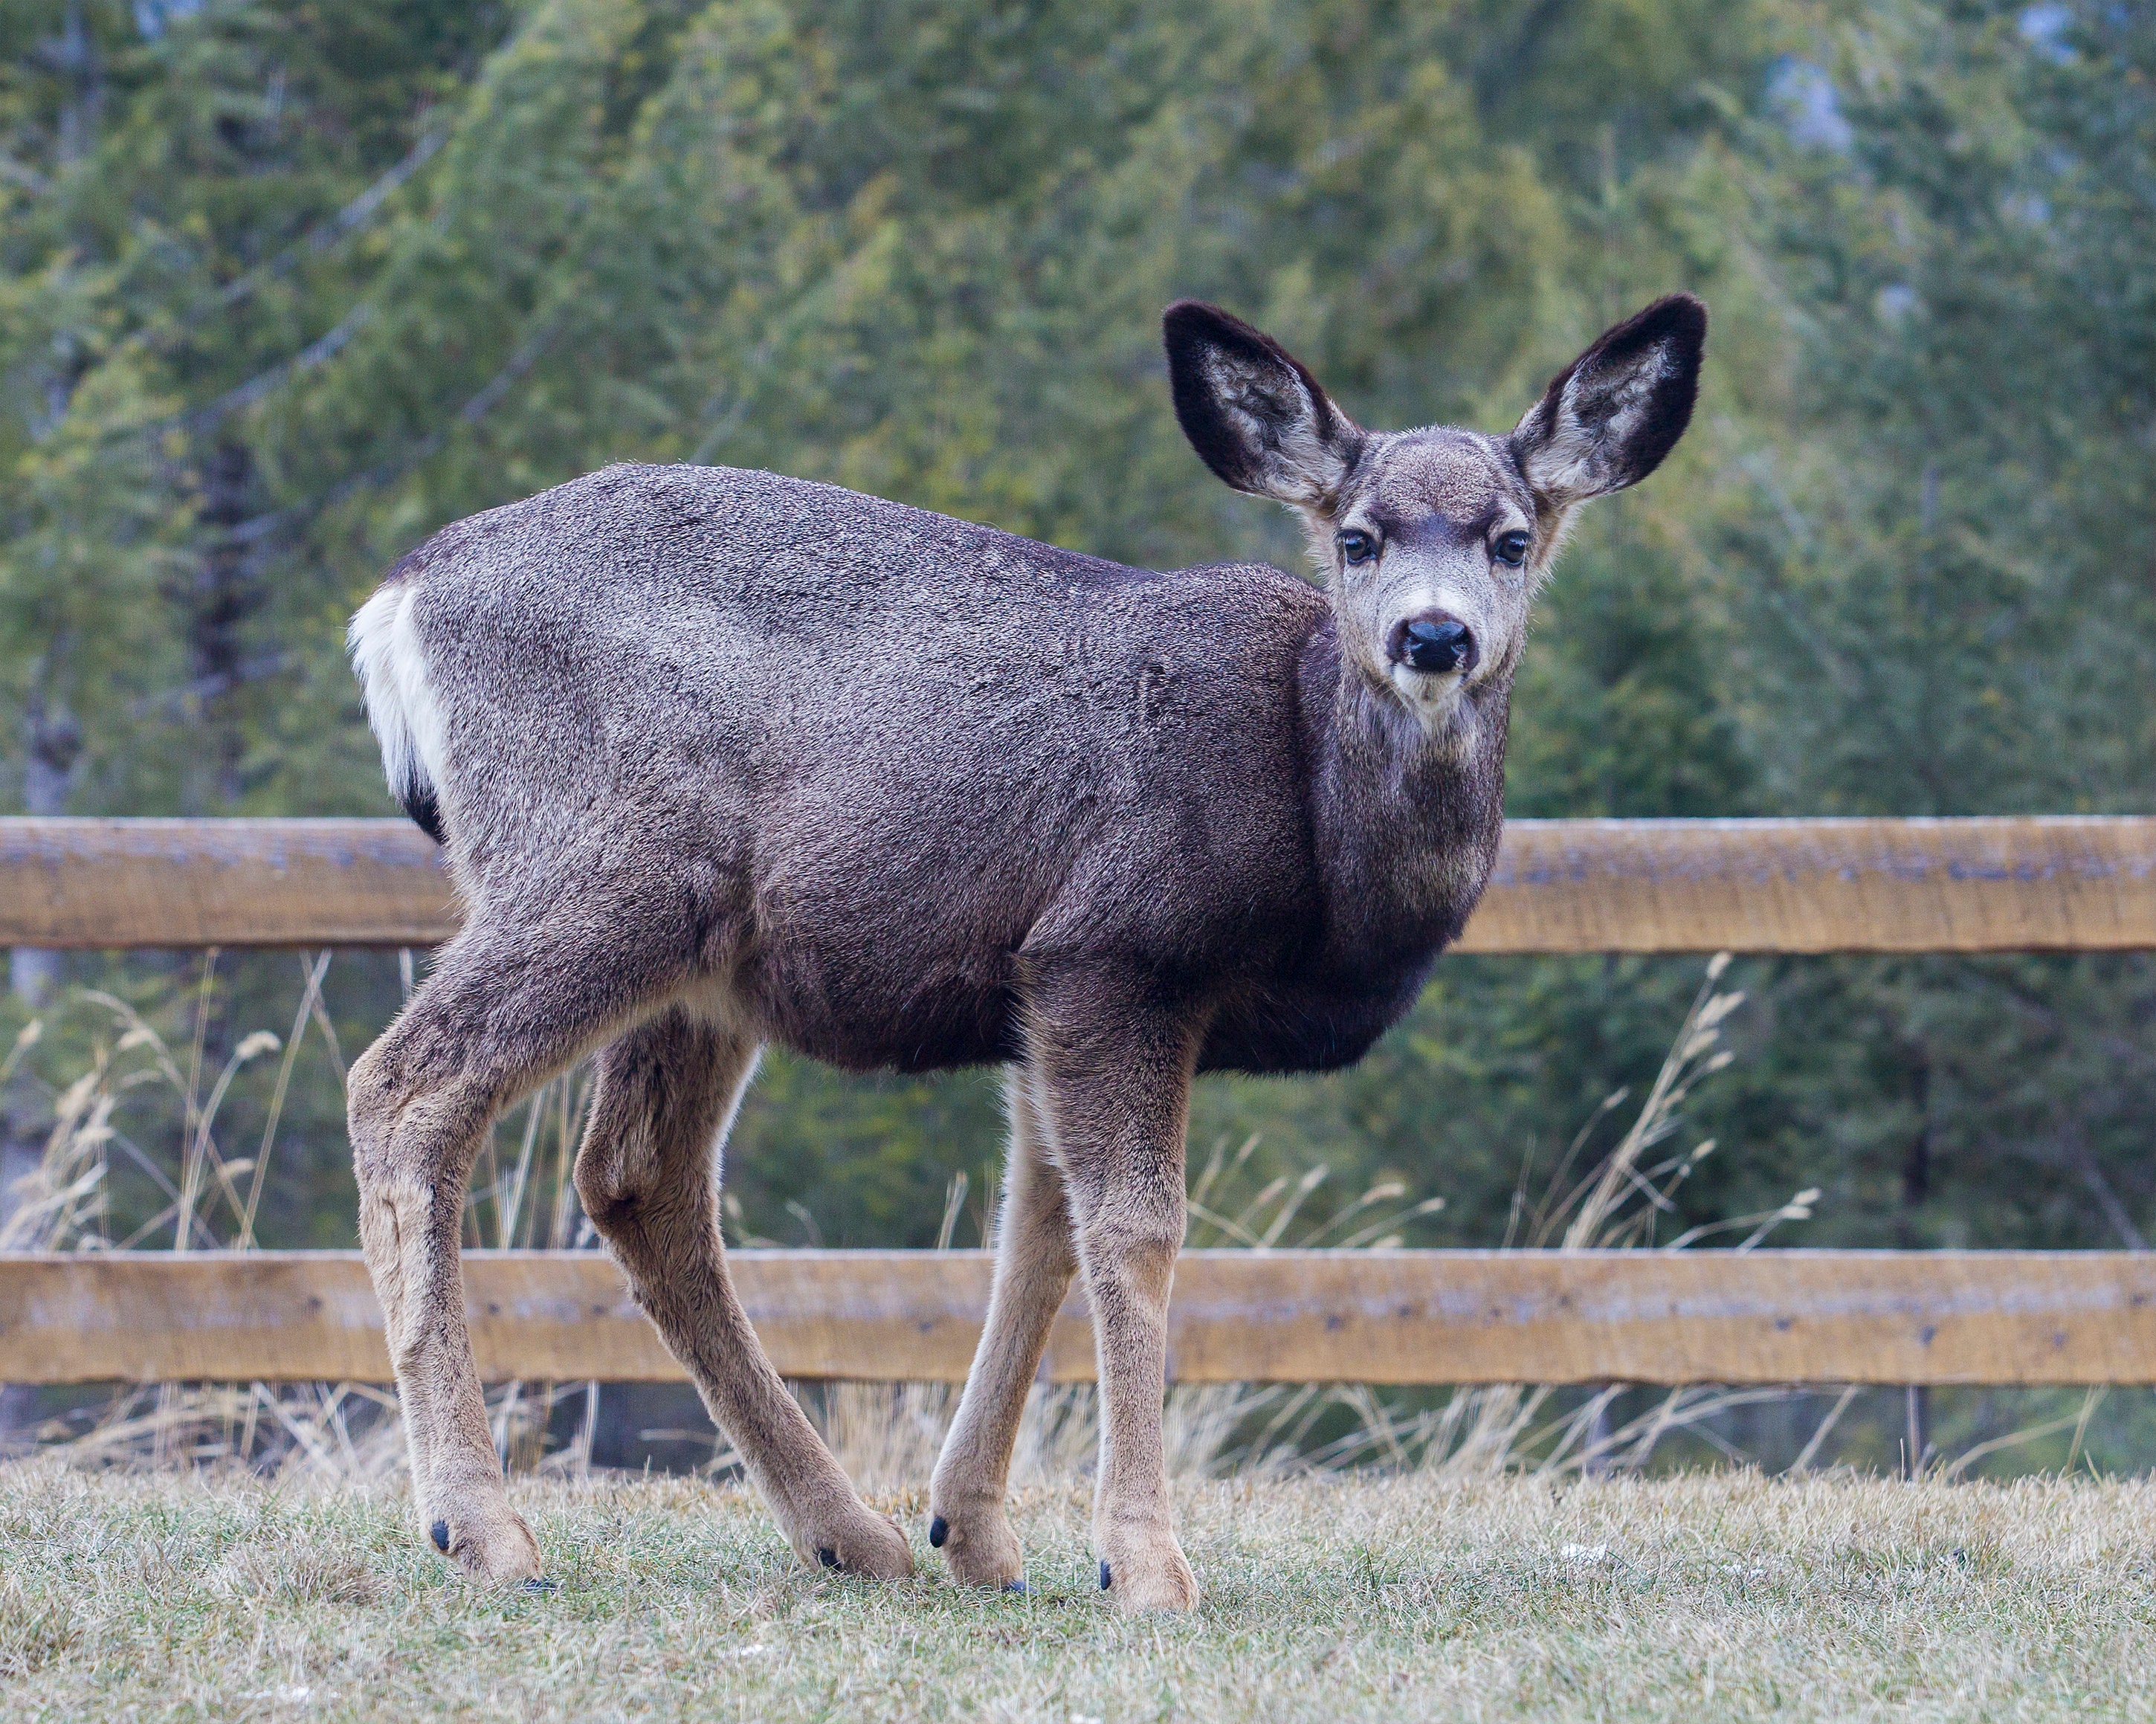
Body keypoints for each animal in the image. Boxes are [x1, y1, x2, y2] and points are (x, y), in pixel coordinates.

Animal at [345, 292, 1704, 1612]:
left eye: (1513, 539)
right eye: (1359, 537)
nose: (1434, 637)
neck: (1322, 828)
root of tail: (397, 599)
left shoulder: (1034, 993)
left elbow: (1036, 1238)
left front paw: (977, 1531)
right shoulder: (1118, 950)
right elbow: (1133, 1232)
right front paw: (1141, 1561)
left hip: (700, 966)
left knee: (636, 1176)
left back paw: (850, 1533)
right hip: (601, 870)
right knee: (404, 1087)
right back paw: (482, 1527)